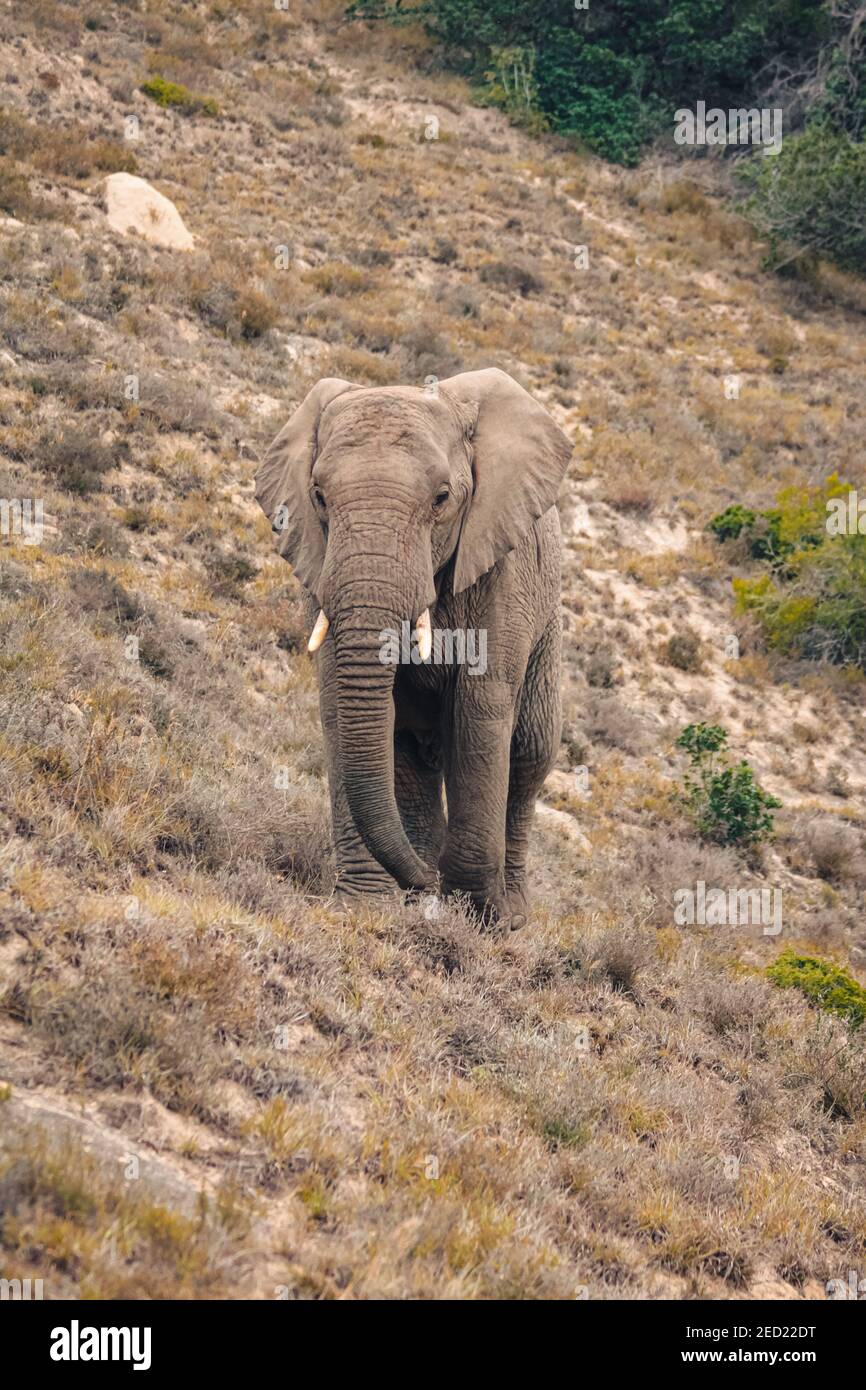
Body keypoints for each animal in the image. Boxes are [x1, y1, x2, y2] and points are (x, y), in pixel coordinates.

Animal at [256, 368, 573, 927]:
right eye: (318, 496)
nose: (425, 880)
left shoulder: (501, 570)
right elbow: (344, 704)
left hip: (546, 620)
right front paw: (369, 906)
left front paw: (476, 918)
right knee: (410, 749)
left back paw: (509, 913)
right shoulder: (318, 564)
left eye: (442, 498)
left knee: (530, 752)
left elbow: (481, 707)